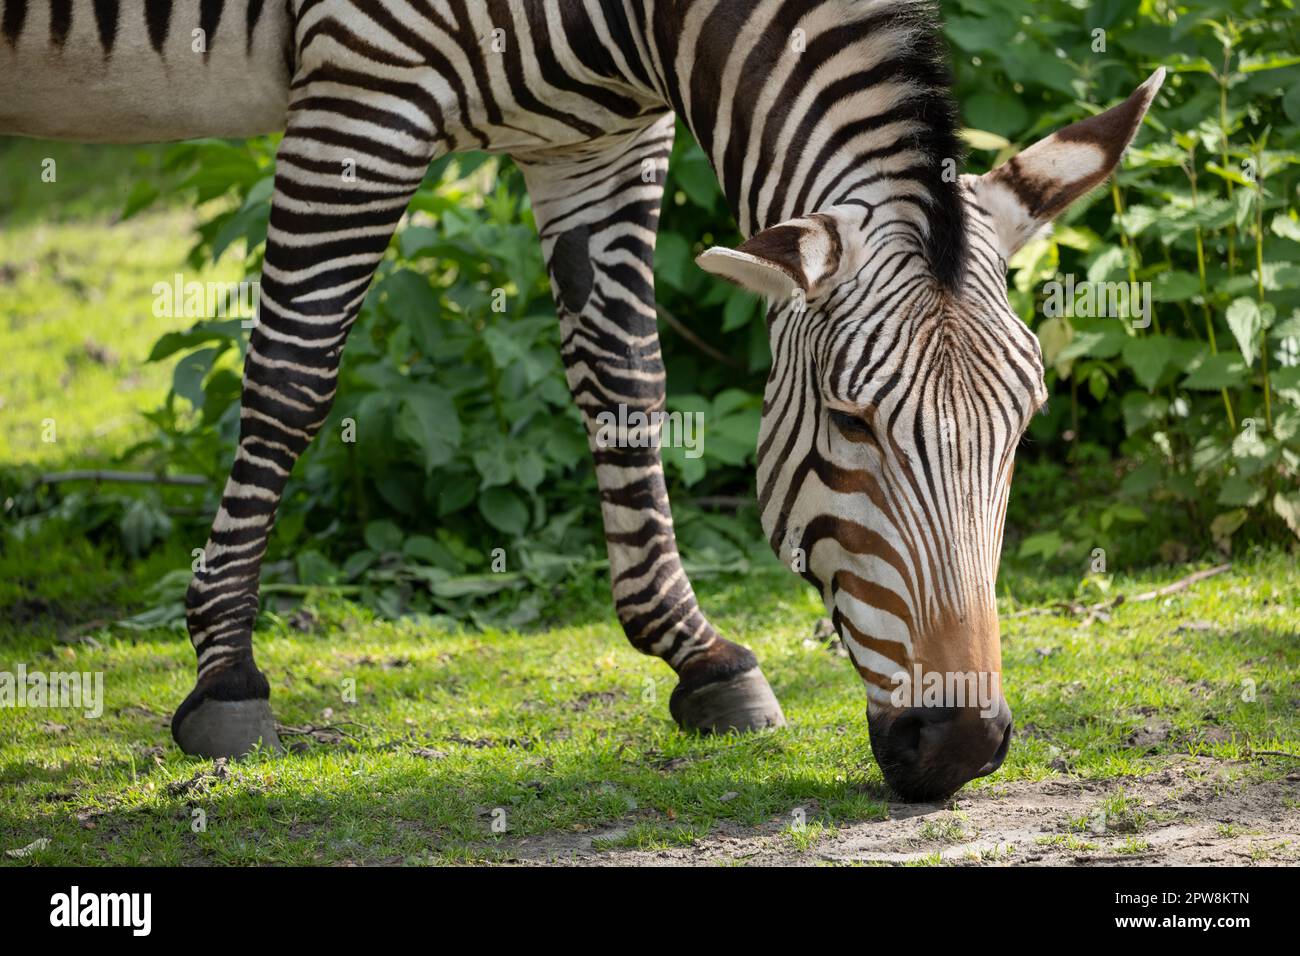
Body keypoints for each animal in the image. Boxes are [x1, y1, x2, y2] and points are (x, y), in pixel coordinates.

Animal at [1, 0, 1163, 801]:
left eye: (1021, 426)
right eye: (850, 423)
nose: (962, 745)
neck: (630, 21)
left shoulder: (594, 137)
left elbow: (627, 375)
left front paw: (697, 653)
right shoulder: (363, 86)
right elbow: (297, 369)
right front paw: (227, 673)